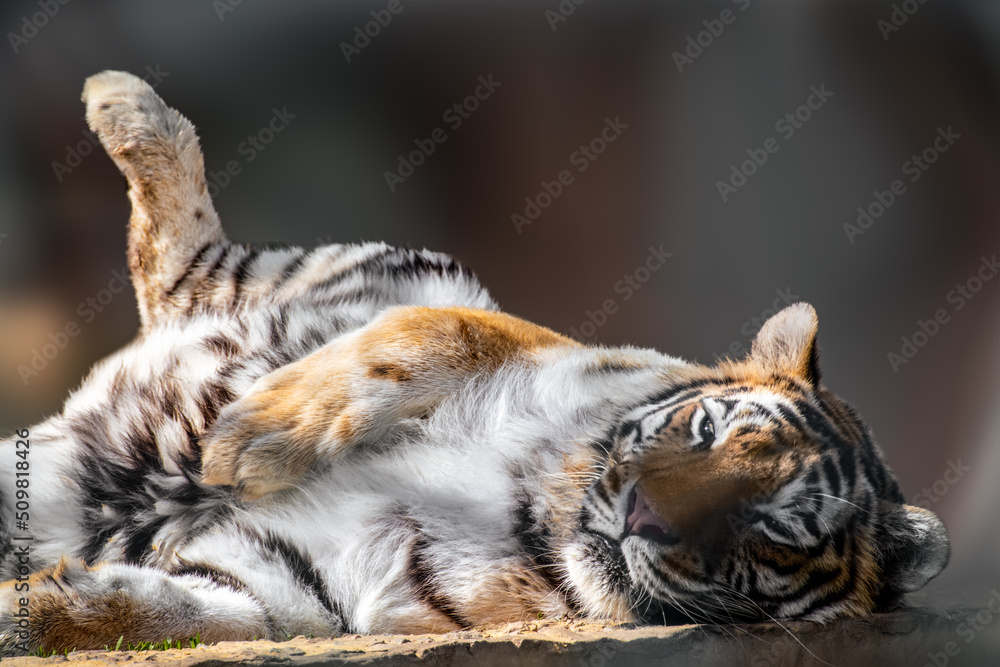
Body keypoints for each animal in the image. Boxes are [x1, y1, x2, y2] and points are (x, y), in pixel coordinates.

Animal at [0, 71, 949, 654]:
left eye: (773, 530)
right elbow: (441, 334)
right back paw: (122, 101)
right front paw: (251, 442)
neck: (535, 523)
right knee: (187, 261)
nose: (643, 515)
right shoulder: (526, 338)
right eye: (707, 427)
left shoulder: (298, 585)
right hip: (385, 263)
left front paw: (38, 606)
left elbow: (168, 609)